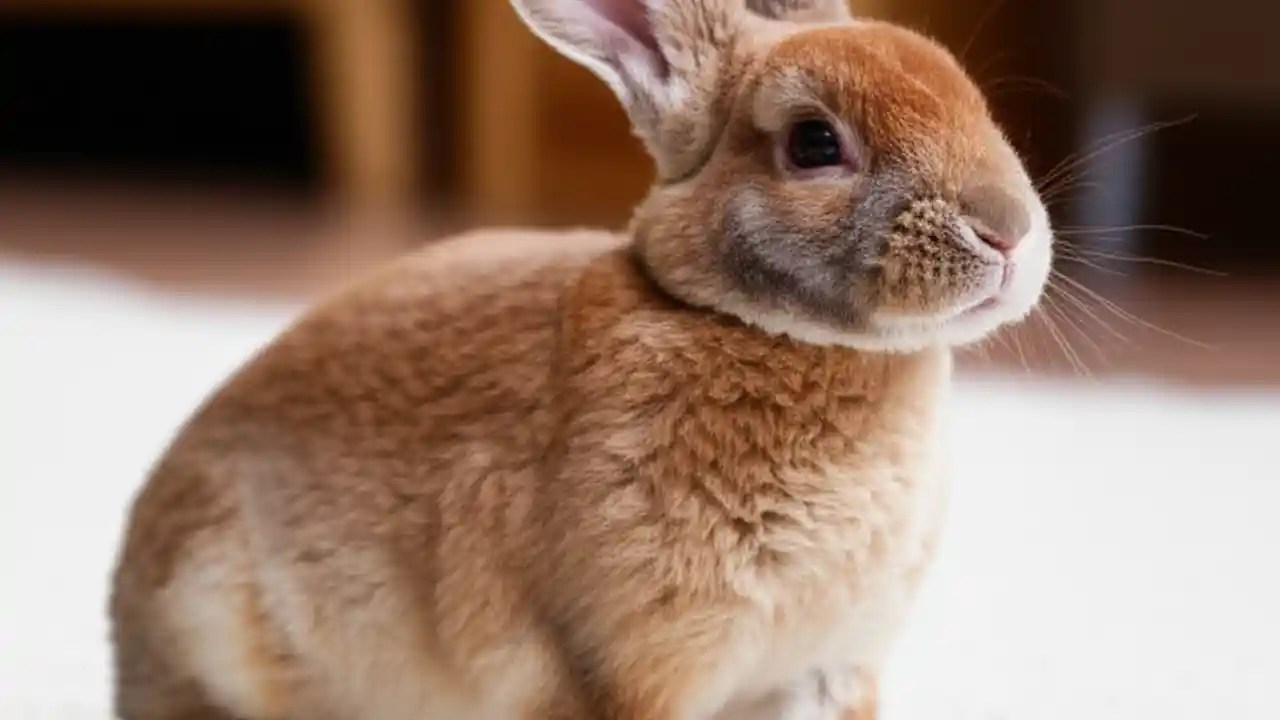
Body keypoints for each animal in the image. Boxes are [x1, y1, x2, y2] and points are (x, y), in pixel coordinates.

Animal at [109, 0, 1053, 719]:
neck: (764, 331)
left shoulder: (829, 667)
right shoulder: (627, 668)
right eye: (815, 143)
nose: (1007, 230)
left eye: (972, 99)